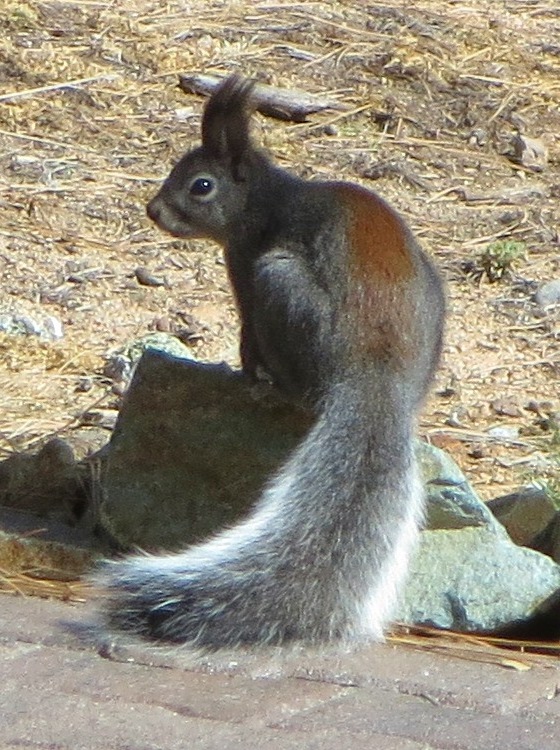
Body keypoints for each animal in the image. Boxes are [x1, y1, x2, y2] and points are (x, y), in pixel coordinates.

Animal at [97, 74, 445, 649]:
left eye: (201, 185)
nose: (154, 211)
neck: (263, 200)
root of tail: (378, 372)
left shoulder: (243, 265)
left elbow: (245, 336)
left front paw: (241, 371)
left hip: (277, 280)